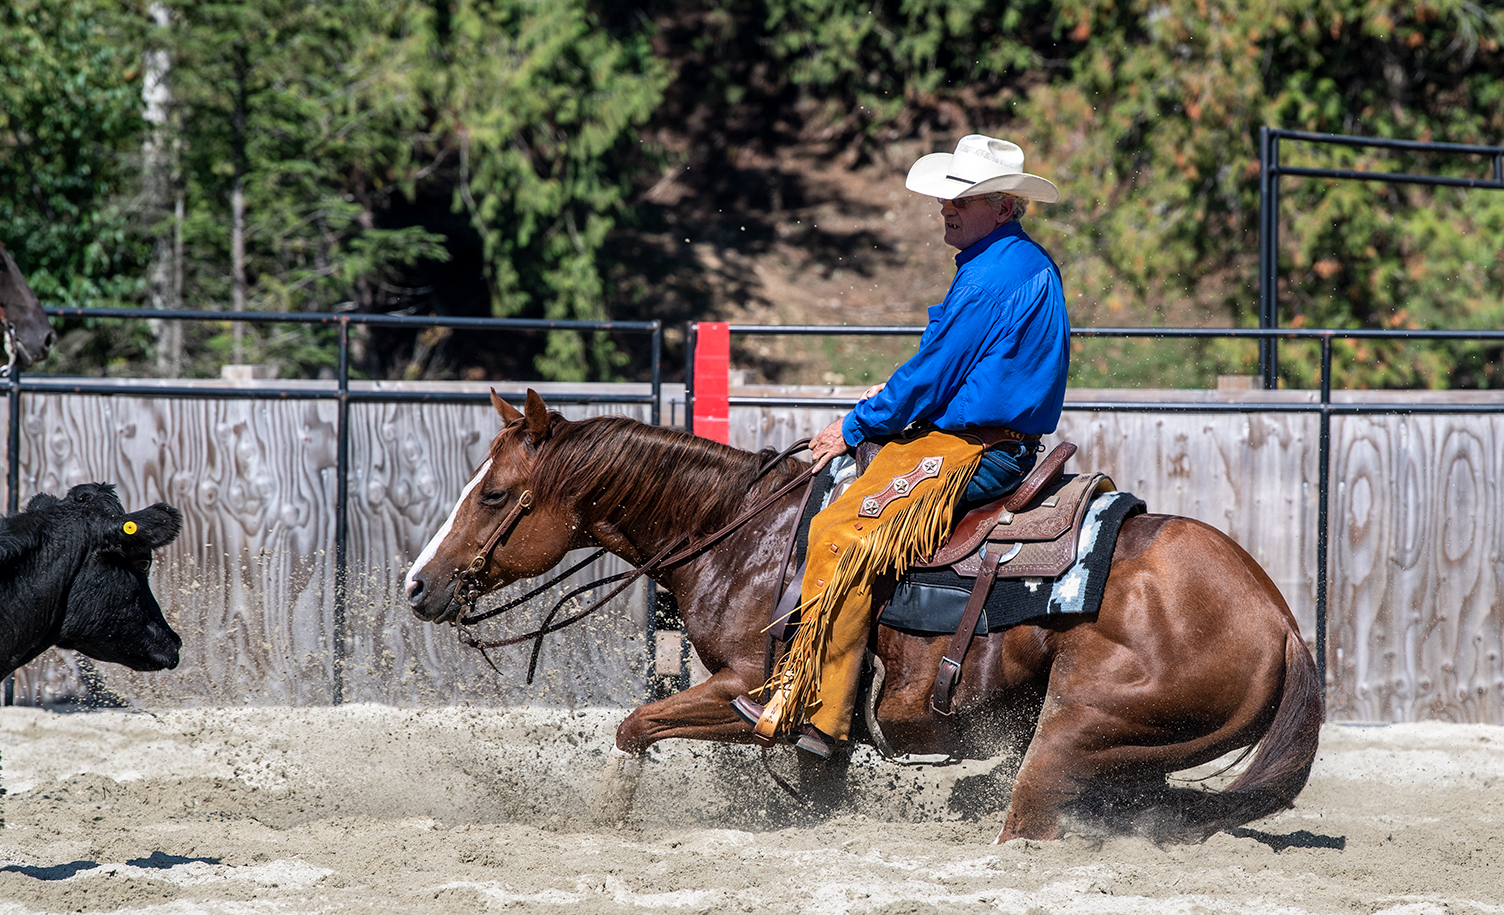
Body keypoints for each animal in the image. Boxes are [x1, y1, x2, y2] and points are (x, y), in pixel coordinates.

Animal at [404, 389, 1323, 843]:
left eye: (495, 494)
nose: (418, 585)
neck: (745, 532)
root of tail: (1280, 619)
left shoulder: (754, 694)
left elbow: (635, 724)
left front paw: (608, 816)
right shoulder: (819, 736)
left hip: (1075, 733)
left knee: (1032, 811)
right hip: (1135, 753)